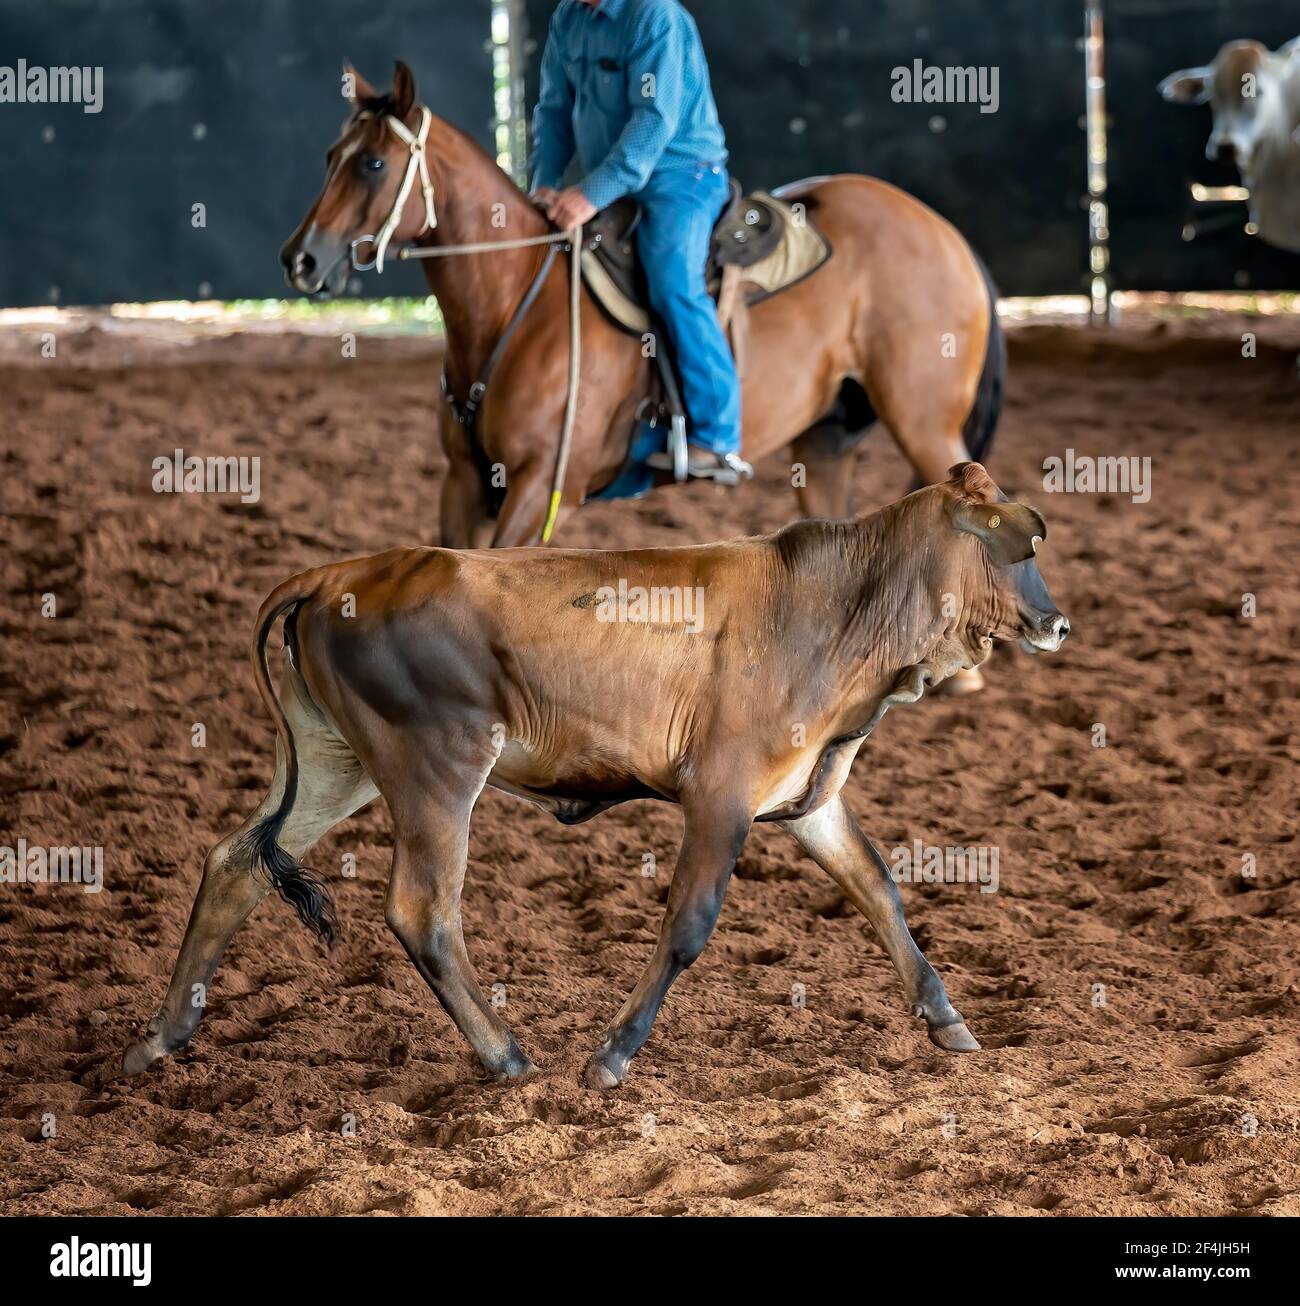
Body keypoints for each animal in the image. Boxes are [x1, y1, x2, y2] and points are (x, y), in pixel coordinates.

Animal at [122, 463, 1068, 1090]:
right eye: (1016, 542)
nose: (1057, 623)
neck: (839, 611)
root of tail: (335, 575)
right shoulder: (720, 795)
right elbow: (689, 925)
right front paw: (609, 1056)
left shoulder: (808, 797)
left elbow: (878, 890)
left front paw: (946, 1018)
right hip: (435, 769)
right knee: (422, 911)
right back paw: (504, 1054)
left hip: (332, 761)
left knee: (236, 863)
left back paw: (161, 1037)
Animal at [280, 61, 1005, 551]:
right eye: (330, 155)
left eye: (374, 164)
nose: (300, 258)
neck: (519, 306)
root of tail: (947, 234)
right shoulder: (462, 484)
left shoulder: (543, 488)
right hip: (827, 438)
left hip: (923, 422)